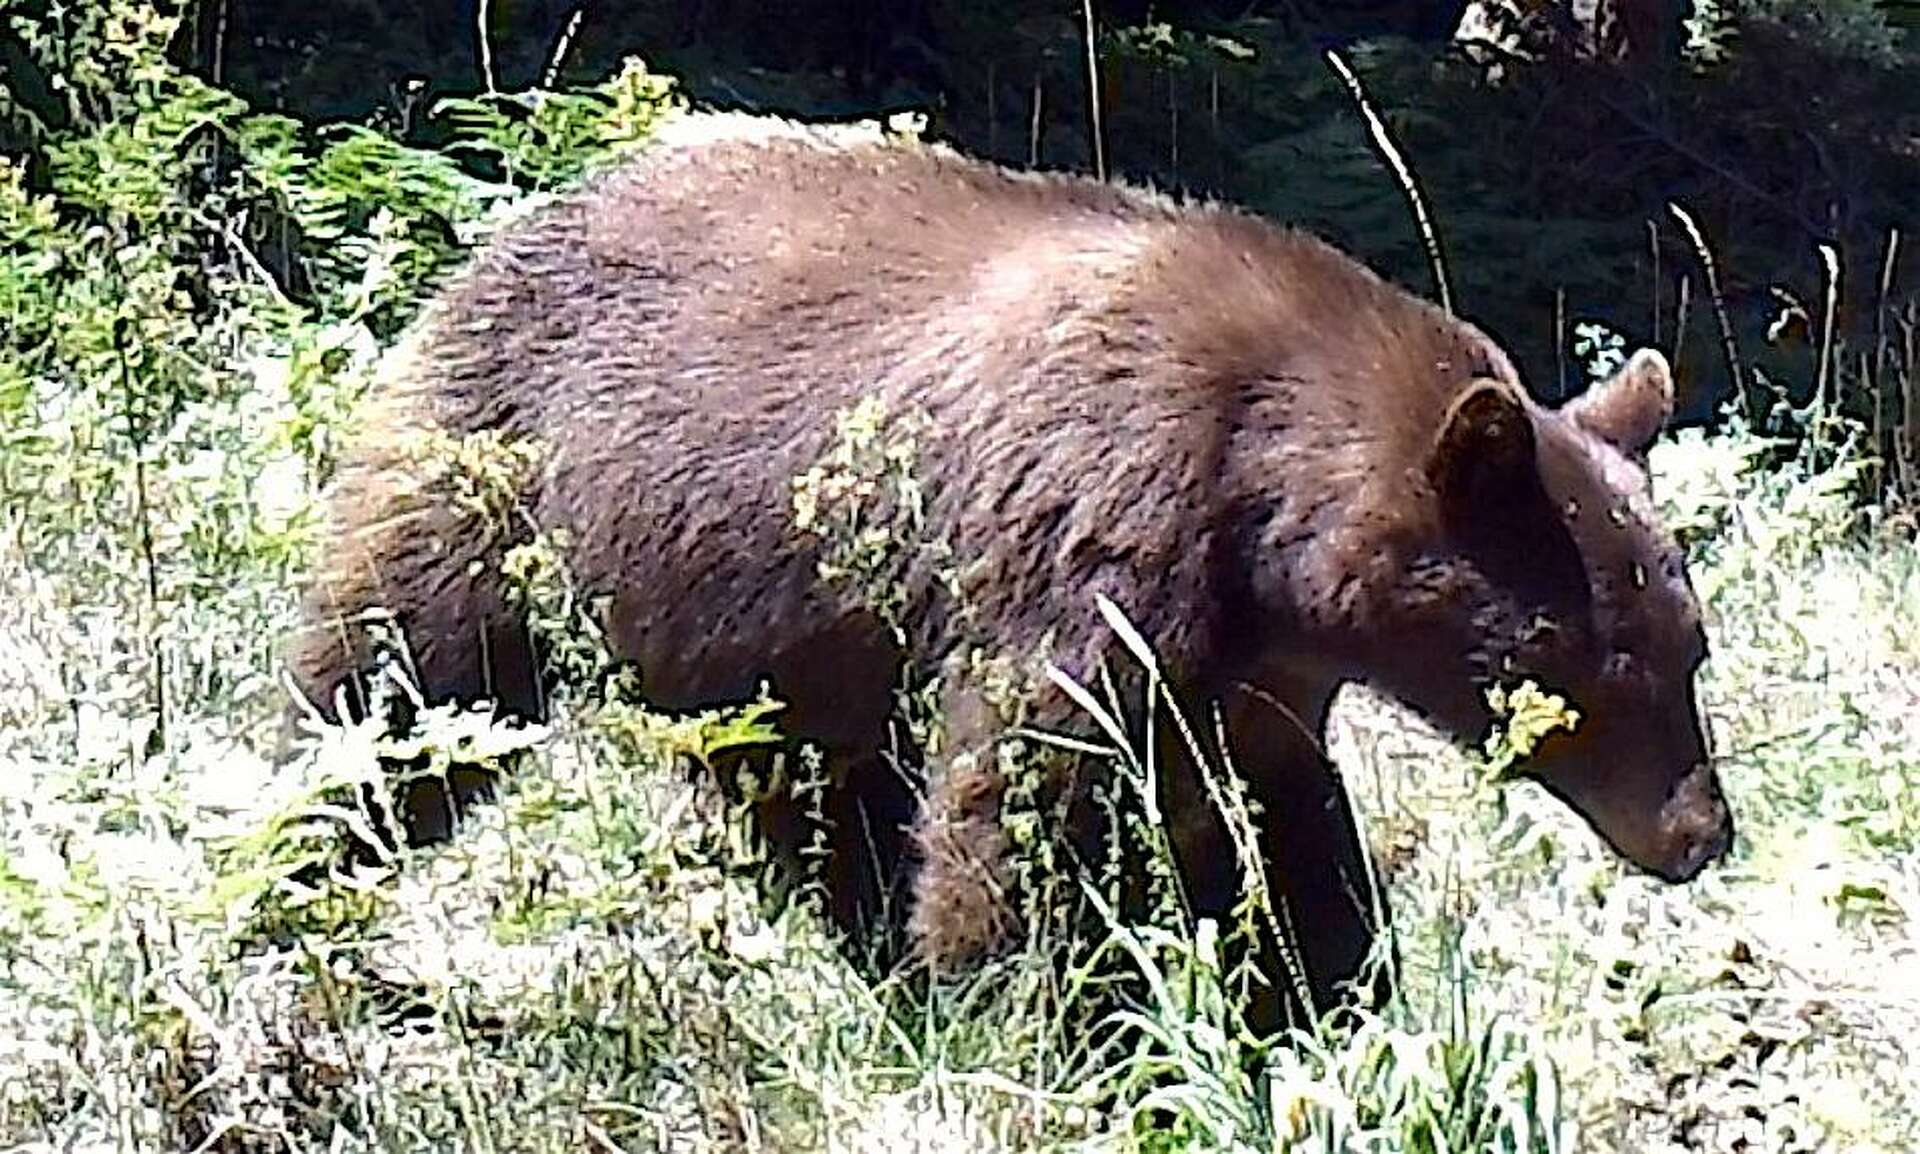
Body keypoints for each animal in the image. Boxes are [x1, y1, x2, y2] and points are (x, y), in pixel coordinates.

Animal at [286, 110, 1733, 1032]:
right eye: (1587, 659)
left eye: (1691, 646)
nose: (1701, 834)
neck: (1267, 506)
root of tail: (499, 231)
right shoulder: (1092, 551)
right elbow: (1025, 803)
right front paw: (1032, 1015)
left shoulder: (1257, 678)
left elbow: (1283, 835)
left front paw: (1331, 1004)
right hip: (494, 484)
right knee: (389, 693)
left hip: (759, 655)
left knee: (819, 802)